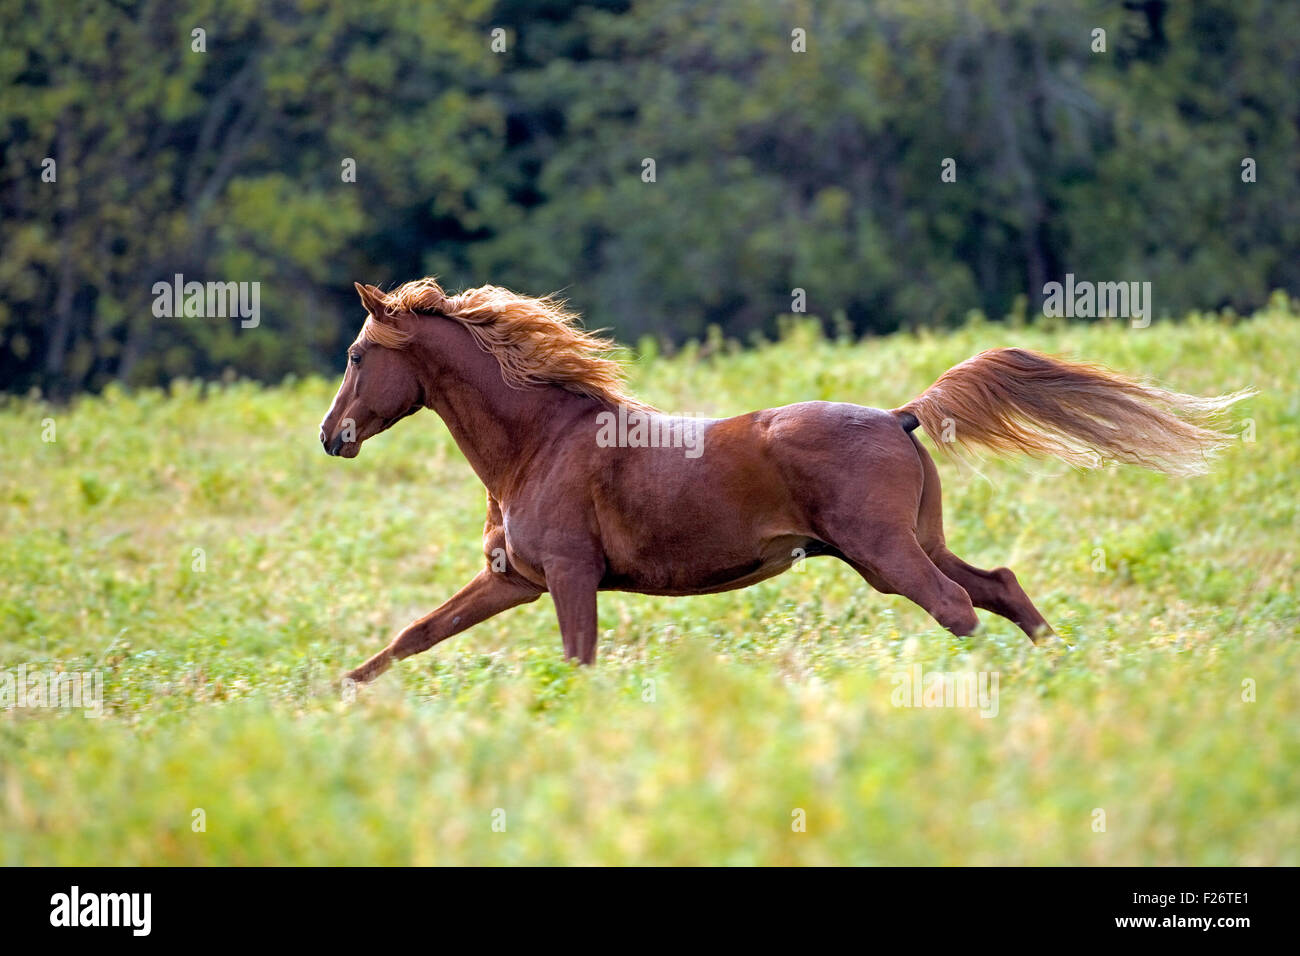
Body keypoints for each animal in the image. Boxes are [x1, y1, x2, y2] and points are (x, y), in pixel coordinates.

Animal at [320, 278, 1252, 684]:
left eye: (359, 355)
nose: (332, 437)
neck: (538, 443)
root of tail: (899, 417)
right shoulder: (514, 579)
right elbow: (415, 635)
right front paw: (341, 696)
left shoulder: (572, 577)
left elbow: (578, 662)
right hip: (914, 541)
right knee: (1000, 586)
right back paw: (1062, 672)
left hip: (882, 553)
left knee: (958, 607)